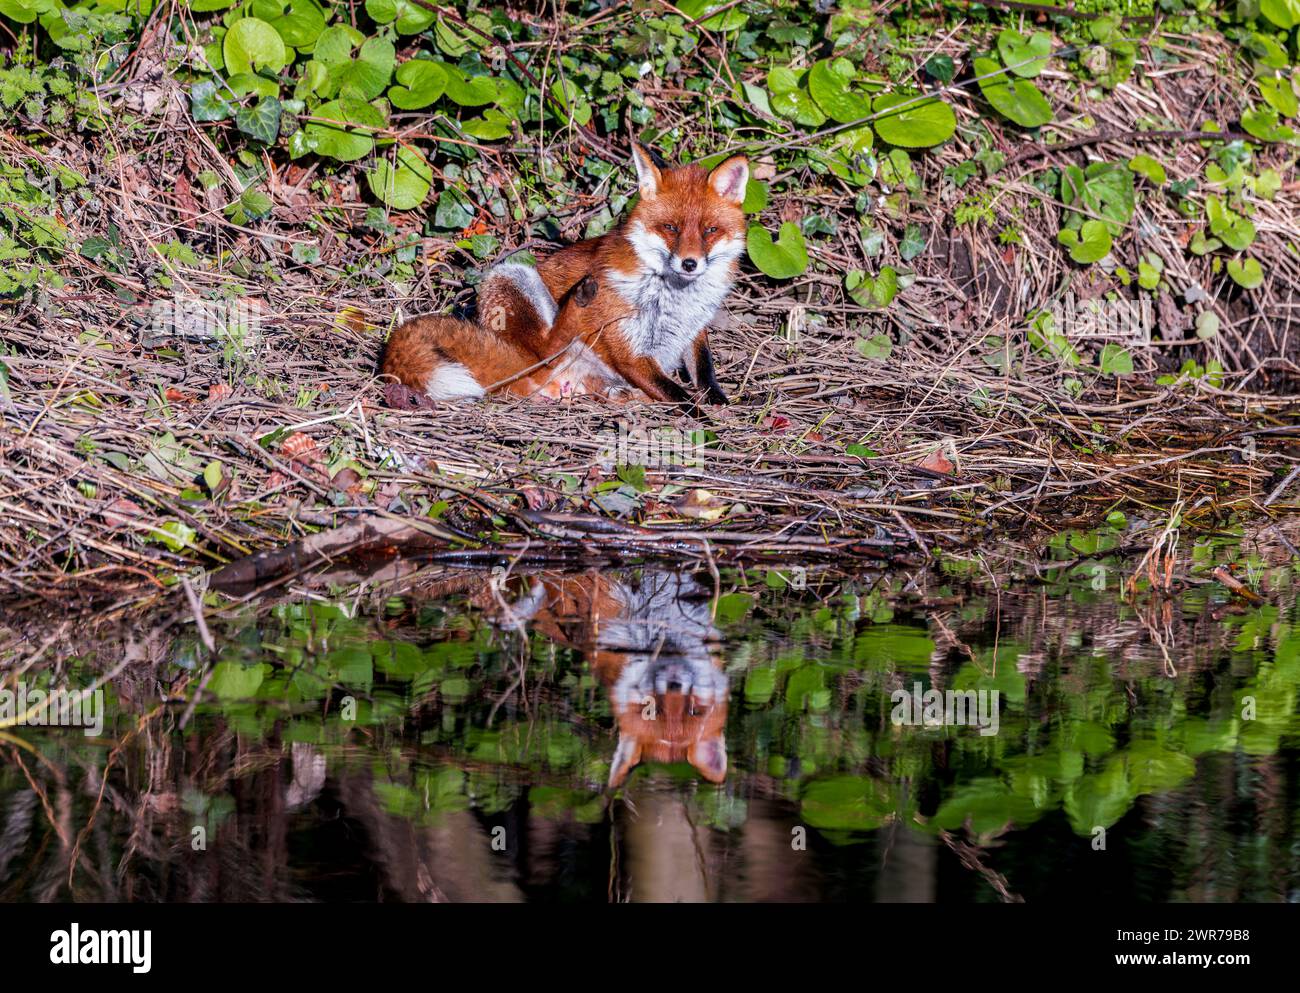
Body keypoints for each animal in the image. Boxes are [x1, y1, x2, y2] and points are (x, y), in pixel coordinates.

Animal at [380, 143, 749, 412]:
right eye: (670, 228)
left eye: (710, 230)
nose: (690, 263)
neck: (677, 299)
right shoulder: (628, 348)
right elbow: (679, 395)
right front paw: (703, 419)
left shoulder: (694, 330)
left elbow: (704, 371)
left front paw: (720, 401)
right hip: (511, 277)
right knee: (548, 350)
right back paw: (579, 300)